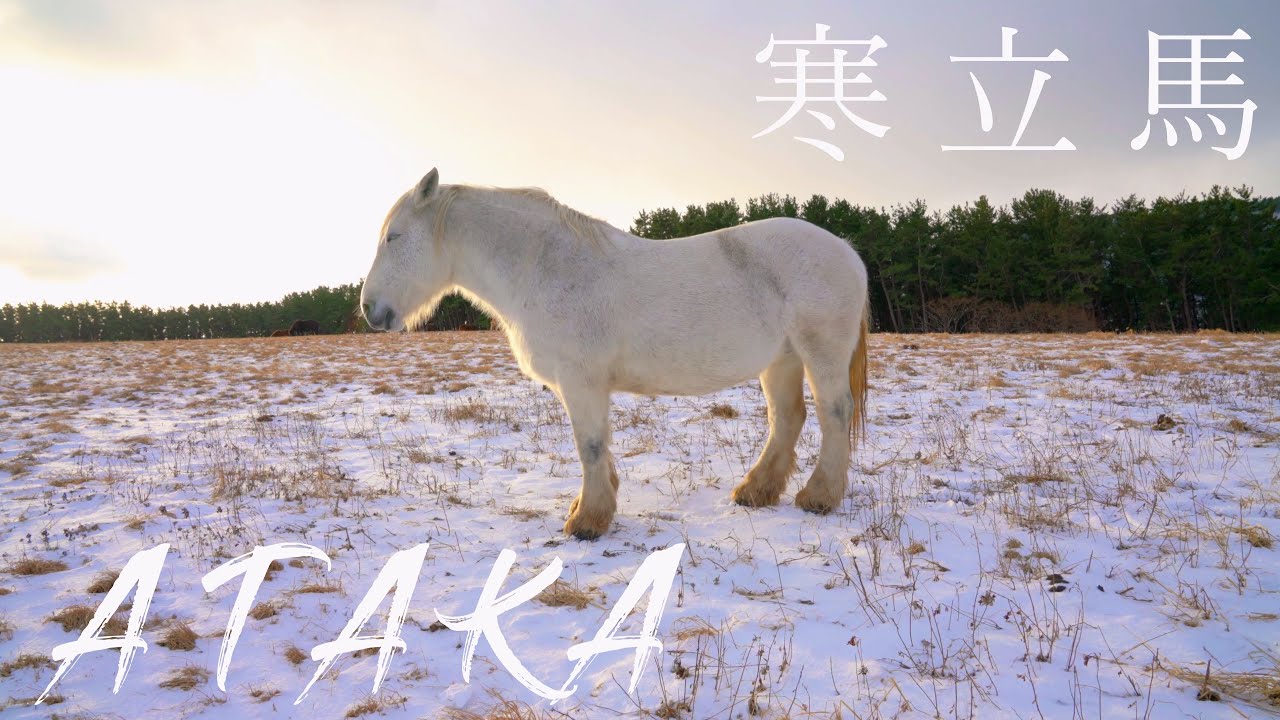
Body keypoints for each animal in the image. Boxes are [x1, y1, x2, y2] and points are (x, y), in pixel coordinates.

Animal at [360, 169, 869, 539]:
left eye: (394, 237)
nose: (370, 309)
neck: (545, 268)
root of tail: (846, 249)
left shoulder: (581, 382)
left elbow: (587, 445)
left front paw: (587, 521)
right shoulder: (587, 385)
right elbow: (598, 445)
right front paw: (595, 504)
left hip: (820, 351)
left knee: (833, 412)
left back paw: (820, 496)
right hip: (781, 359)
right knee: (787, 418)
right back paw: (756, 491)